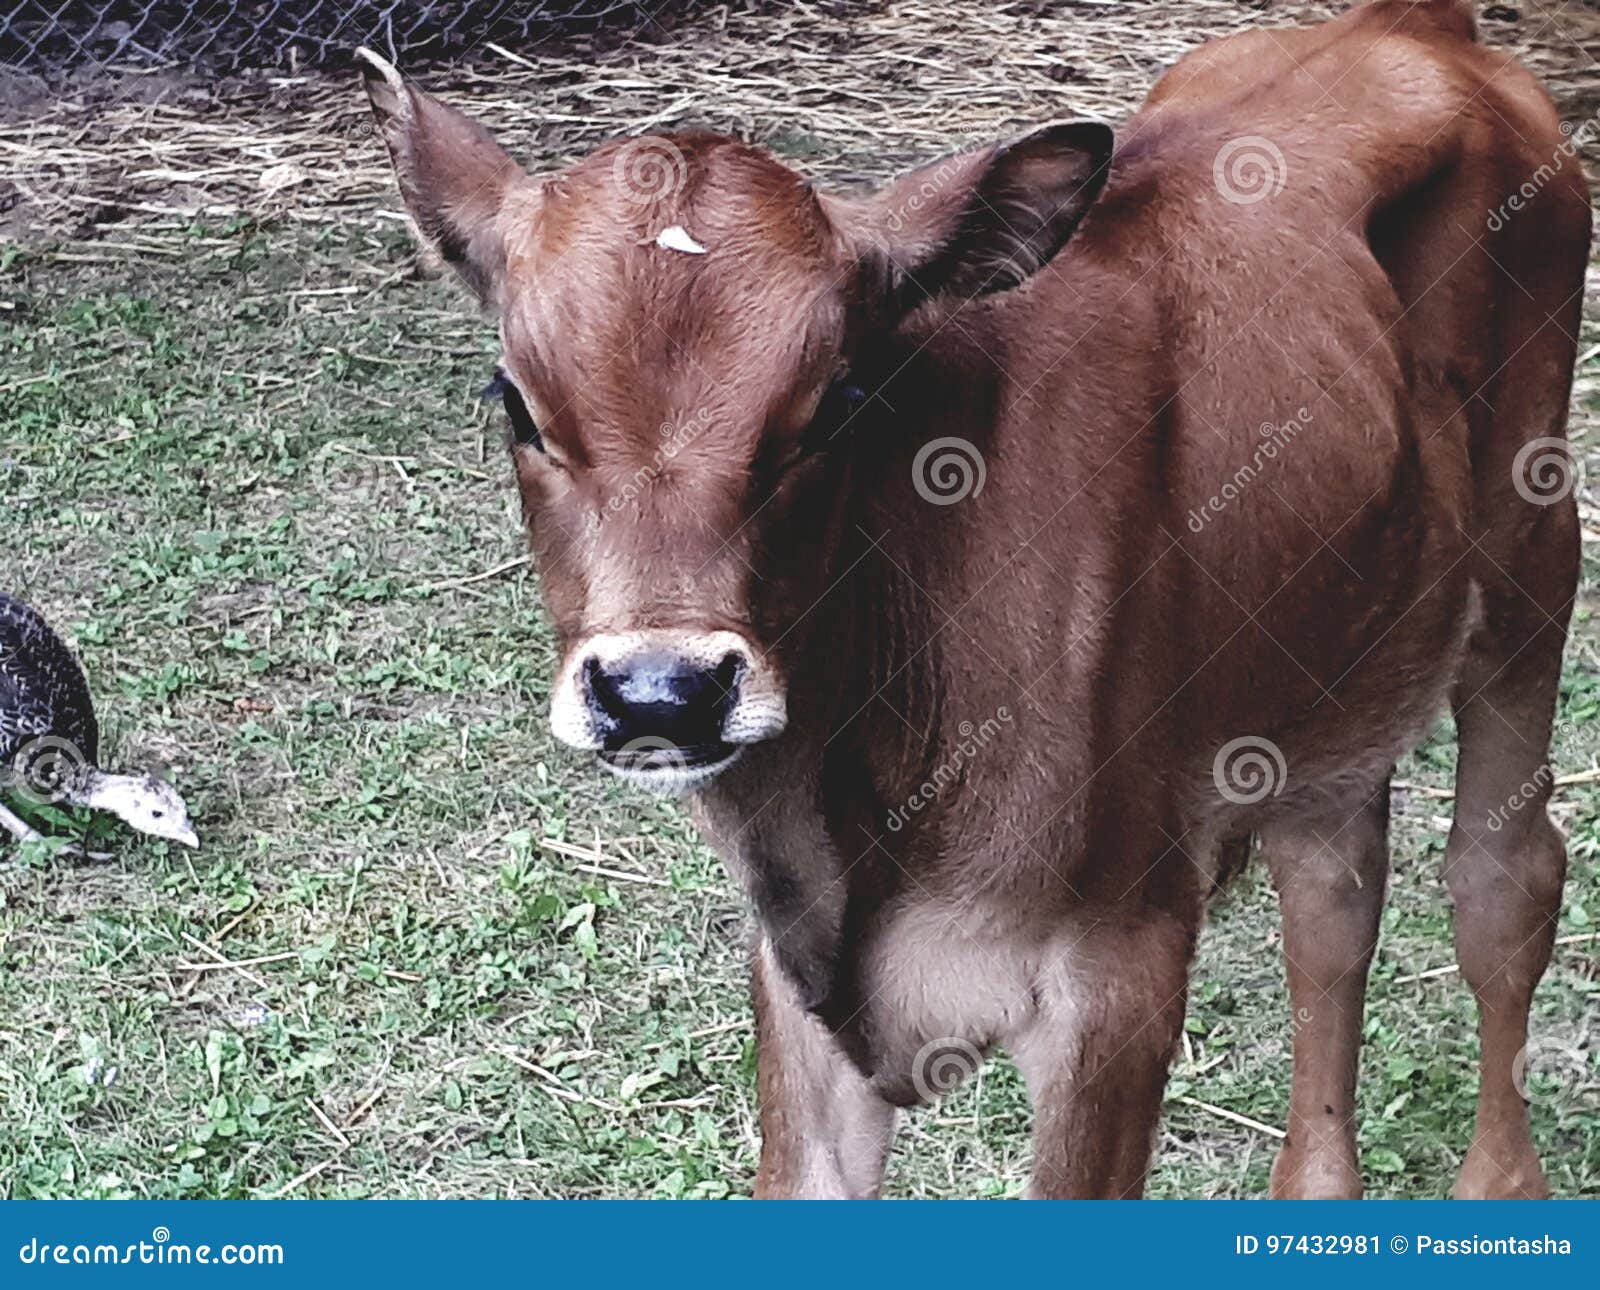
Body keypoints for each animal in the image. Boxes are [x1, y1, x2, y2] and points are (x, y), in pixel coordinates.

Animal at [359, 0, 1591, 1198]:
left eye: (838, 400)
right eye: (515, 401)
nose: (663, 690)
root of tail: (1412, 26)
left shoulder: (1122, 965)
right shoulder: (800, 987)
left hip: (1534, 545)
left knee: (1504, 881)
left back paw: (1500, 1180)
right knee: (1331, 888)